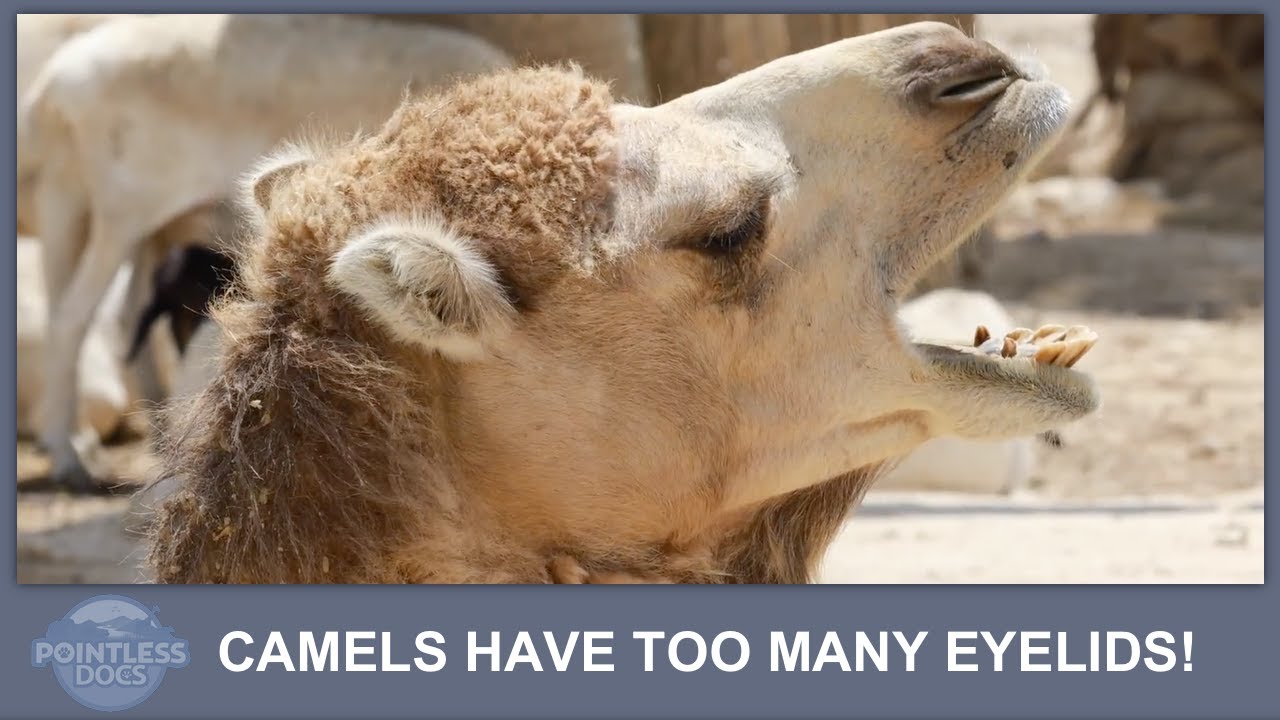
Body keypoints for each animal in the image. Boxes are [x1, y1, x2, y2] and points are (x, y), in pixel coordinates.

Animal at [19, 14, 514, 490]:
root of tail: (55, 84)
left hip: (85, 202)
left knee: (118, 314)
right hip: (121, 209)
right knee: (72, 319)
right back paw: (72, 461)